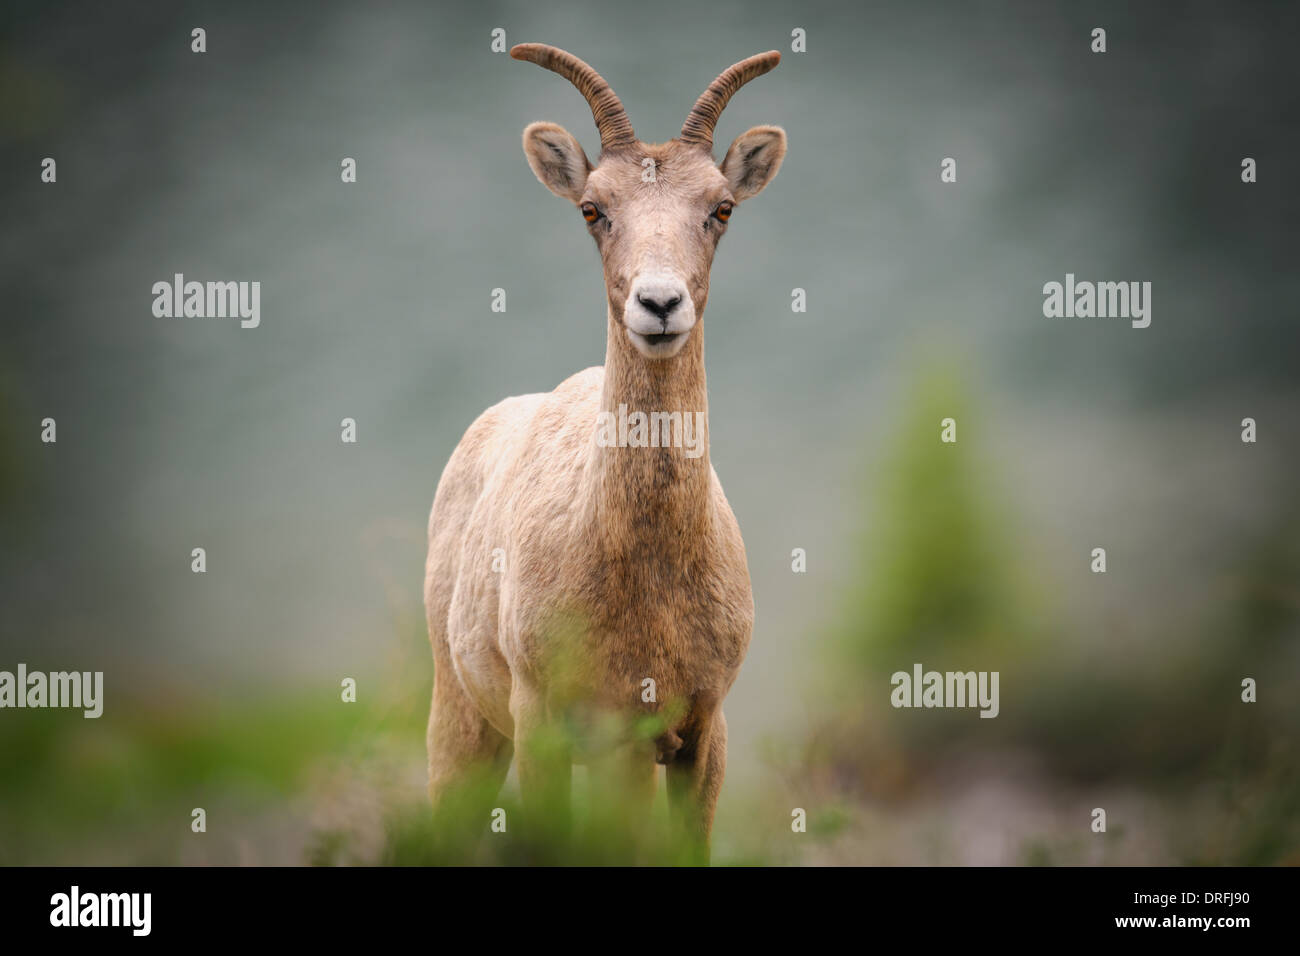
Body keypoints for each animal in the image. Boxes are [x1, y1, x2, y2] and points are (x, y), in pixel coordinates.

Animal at [424, 43, 786, 862]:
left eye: (720, 208)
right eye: (593, 209)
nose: (659, 304)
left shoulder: (697, 732)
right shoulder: (543, 730)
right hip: (462, 720)